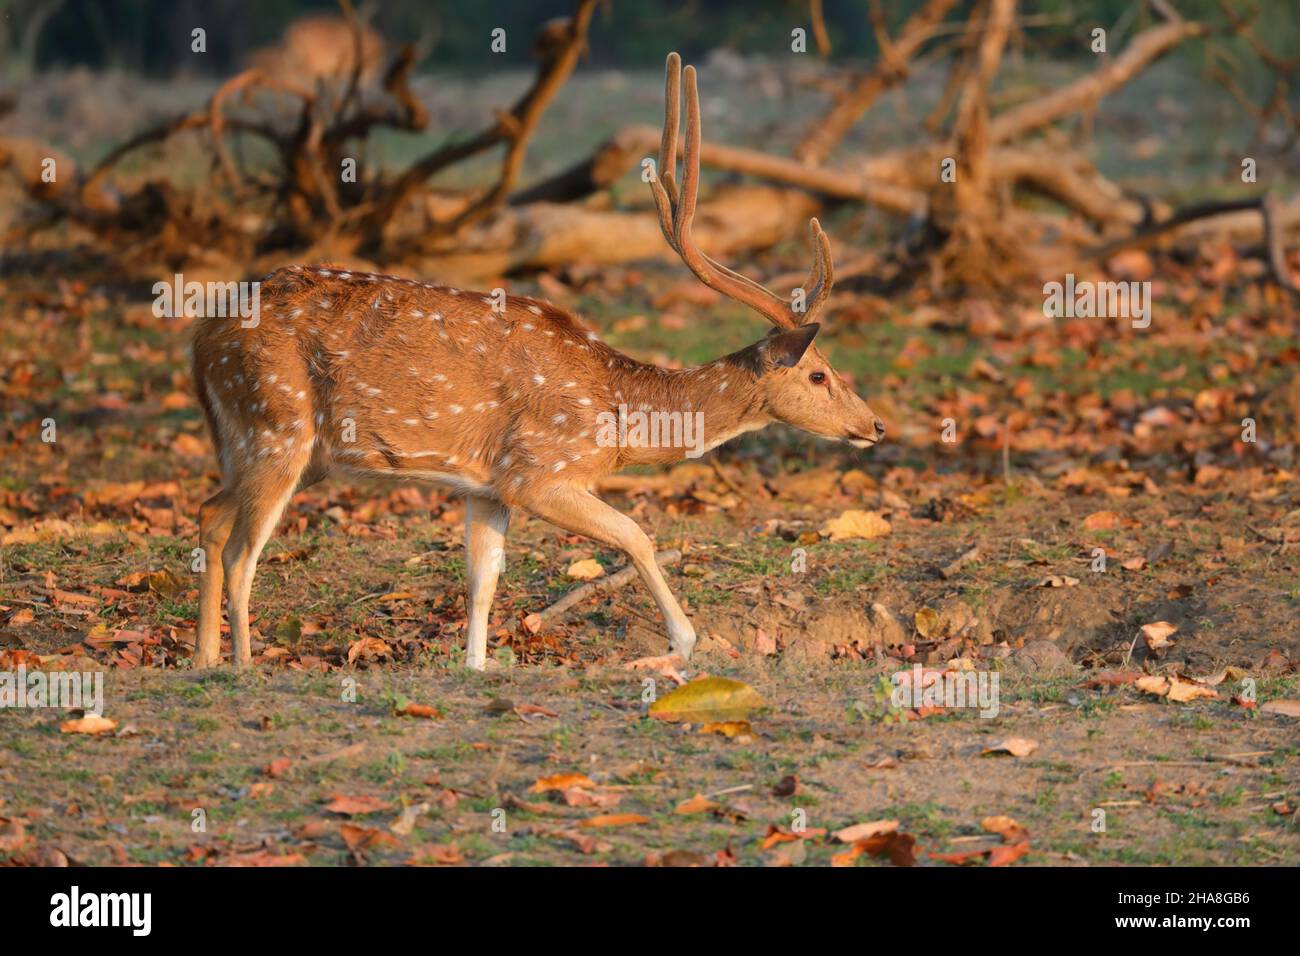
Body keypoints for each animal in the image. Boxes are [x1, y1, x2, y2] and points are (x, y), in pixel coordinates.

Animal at [190, 53, 885, 671]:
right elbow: (636, 533)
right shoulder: (539, 470)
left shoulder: (486, 487)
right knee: (242, 551)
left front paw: (476, 666)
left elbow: (482, 582)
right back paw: (243, 664)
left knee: (210, 516)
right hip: (273, 421)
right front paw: (683, 643)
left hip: (285, 449)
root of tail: (200, 341)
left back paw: (204, 656)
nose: (875, 425)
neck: (618, 418)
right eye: (819, 373)